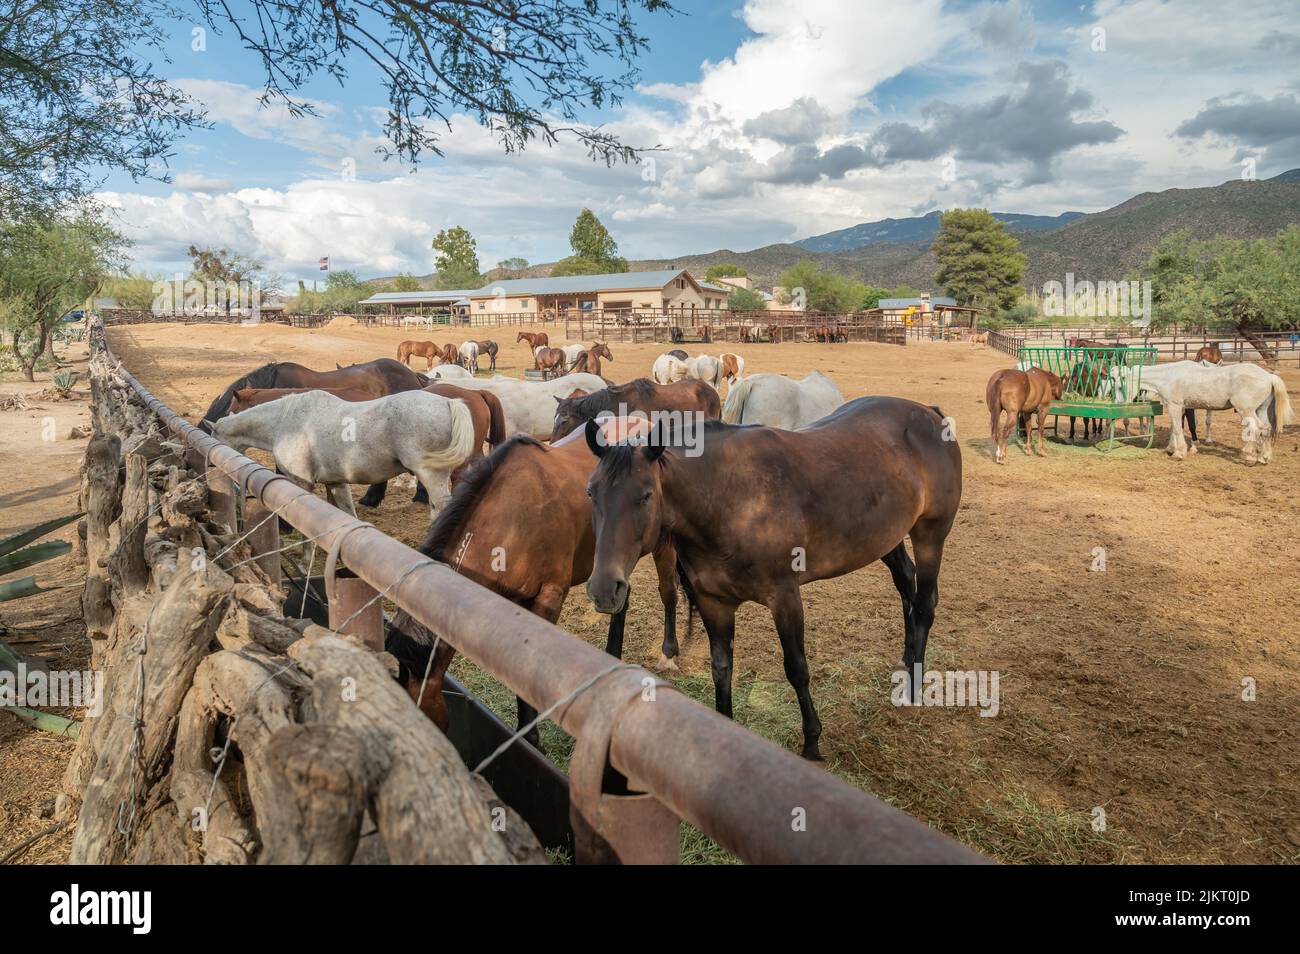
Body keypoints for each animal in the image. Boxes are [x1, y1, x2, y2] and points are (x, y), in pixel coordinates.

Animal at [211, 390, 476, 516]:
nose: (213, 468)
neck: (283, 423)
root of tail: (448, 402)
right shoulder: (337, 483)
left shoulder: (301, 484)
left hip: (432, 476)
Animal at [387, 419, 684, 747]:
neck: (512, 519)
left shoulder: (549, 598)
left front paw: (531, 739)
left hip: (662, 544)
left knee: (668, 592)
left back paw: (668, 655)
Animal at [583, 397, 963, 759]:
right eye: (591, 492)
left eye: (645, 495)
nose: (604, 589)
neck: (729, 499)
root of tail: (929, 413)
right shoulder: (713, 603)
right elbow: (721, 669)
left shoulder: (784, 597)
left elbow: (796, 668)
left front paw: (812, 743)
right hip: (886, 536)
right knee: (906, 583)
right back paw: (907, 658)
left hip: (930, 534)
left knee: (925, 602)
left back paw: (913, 685)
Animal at [1112, 360, 1294, 463]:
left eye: (1120, 386)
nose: (1118, 404)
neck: (1169, 376)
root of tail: (1269, 376)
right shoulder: (1182, 407)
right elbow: (1175, 428)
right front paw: (1171, 449)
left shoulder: (1175, 406)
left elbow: (1177, 429)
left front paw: (1179, 453)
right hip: (1260, 409)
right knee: (1266, 429)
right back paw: (1264, 457)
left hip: (1247, 410)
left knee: (1256, 428)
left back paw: (1249, 456)